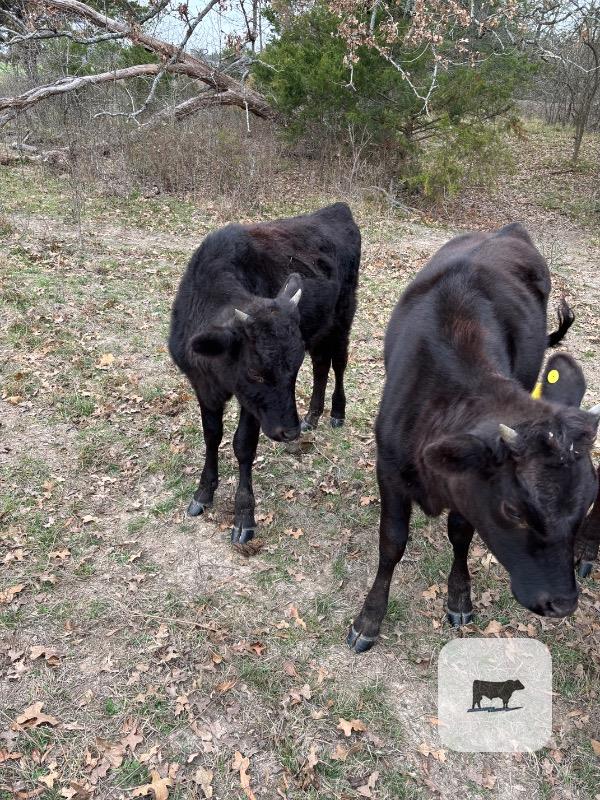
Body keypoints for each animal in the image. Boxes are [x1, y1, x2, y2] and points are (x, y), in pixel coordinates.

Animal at [168, 203, 360, 544]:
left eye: (292, 371)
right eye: (256, 373)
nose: (289, 431)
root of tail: (337, 209)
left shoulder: (250, 405)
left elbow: (243, 445)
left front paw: (244, 516)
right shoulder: (204, 387)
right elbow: (211, 435)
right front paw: (203, 493)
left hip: (343, 317)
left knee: (338, 362)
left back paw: (337, 412)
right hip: (319, 328)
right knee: (321, 364)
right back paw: (313, 415)